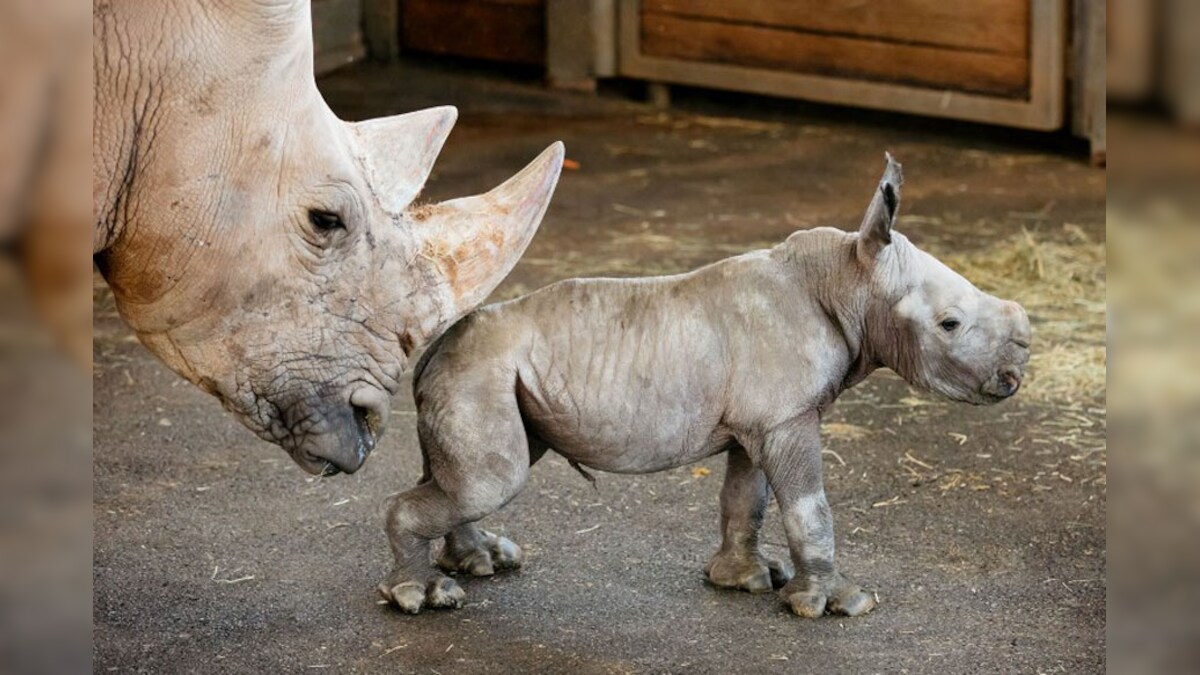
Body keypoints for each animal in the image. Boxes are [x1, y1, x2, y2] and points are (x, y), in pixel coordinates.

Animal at [377, 155, 1032, 617]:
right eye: (950, 324)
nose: (1016, 375)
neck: (847, 279)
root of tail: (433, 349)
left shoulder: (761, 421)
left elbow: (746, 498)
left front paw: (746, 580)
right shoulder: (788, 418)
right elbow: (810, 507)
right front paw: (838, 604)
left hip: (483, 372)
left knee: (471, 480)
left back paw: (481, 563)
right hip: (479, 374)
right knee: (492, 479)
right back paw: (422, 598)